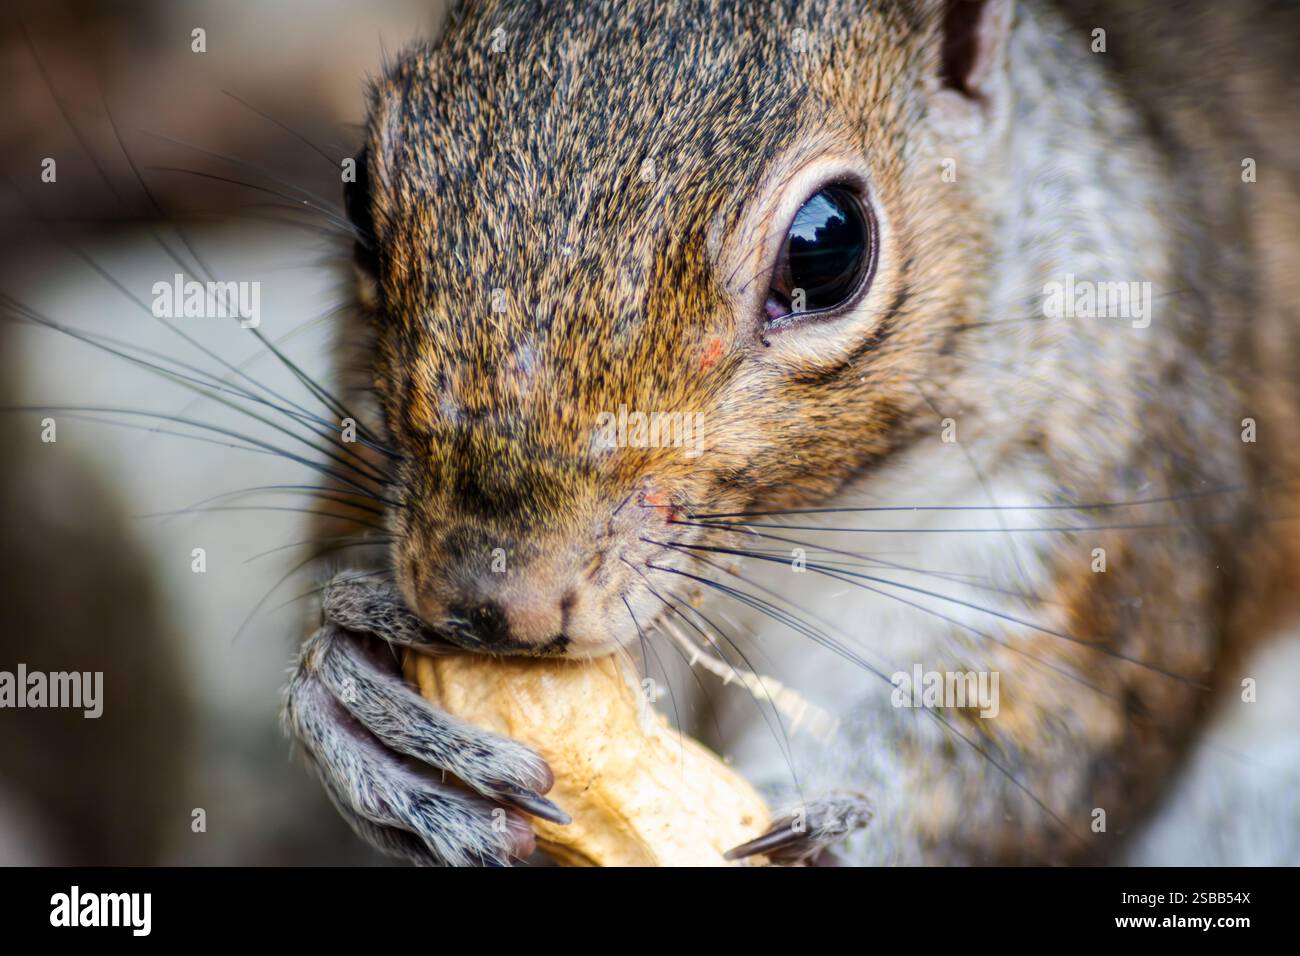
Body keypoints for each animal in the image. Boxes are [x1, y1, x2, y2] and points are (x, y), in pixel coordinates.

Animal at [283, 0, 1300, 865]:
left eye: (829, 245)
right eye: (358, 200)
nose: (490, 605)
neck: (784, 531)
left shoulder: (1090, 515)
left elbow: (1013, 755)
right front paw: (358, 706)